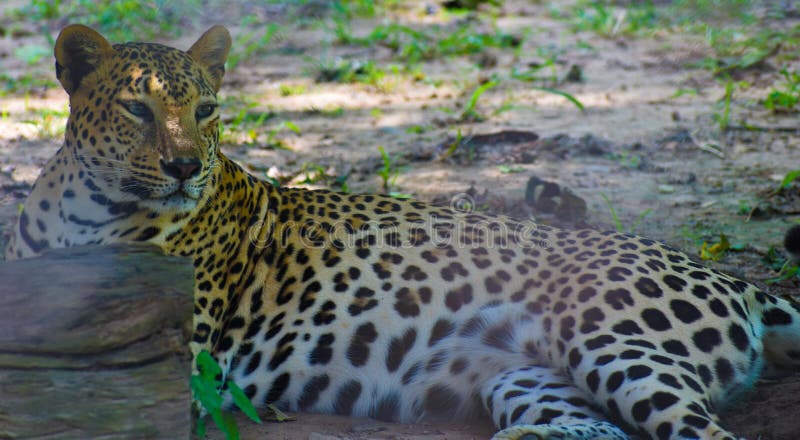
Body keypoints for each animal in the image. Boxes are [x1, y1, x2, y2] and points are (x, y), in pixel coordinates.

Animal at [6, 24, 800, 440]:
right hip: (526, 374)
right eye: (137, 109)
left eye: (205, 111)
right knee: (598, 431)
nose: (180, 167)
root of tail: (728, 275)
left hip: (613, 343)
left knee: (705, 435)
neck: (87, 207)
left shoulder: (192, 349)